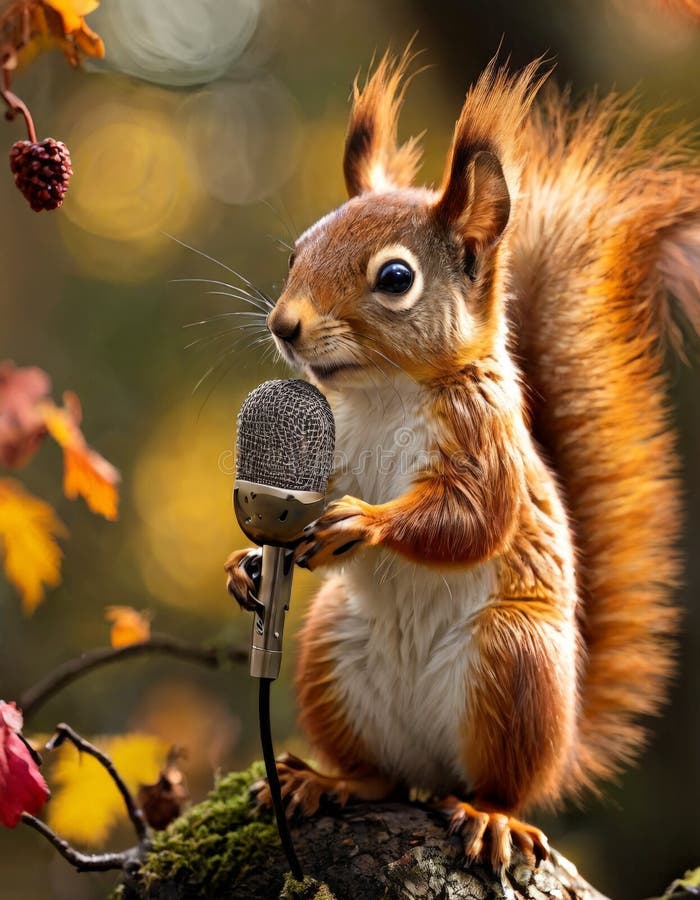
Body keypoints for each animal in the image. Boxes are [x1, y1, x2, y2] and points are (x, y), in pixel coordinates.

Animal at [225, 49, 700, 870]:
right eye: (297, 252)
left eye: (395, 278)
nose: (286, 325)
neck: (385, 390)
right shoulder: (321, 447)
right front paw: (246, 565)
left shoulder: (485, 438)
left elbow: (472, 517)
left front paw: (367, 524)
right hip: (329, 646)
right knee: (383, 776)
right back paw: (329, 780)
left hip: (514, 661)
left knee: (497, 784)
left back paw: (490, 817)